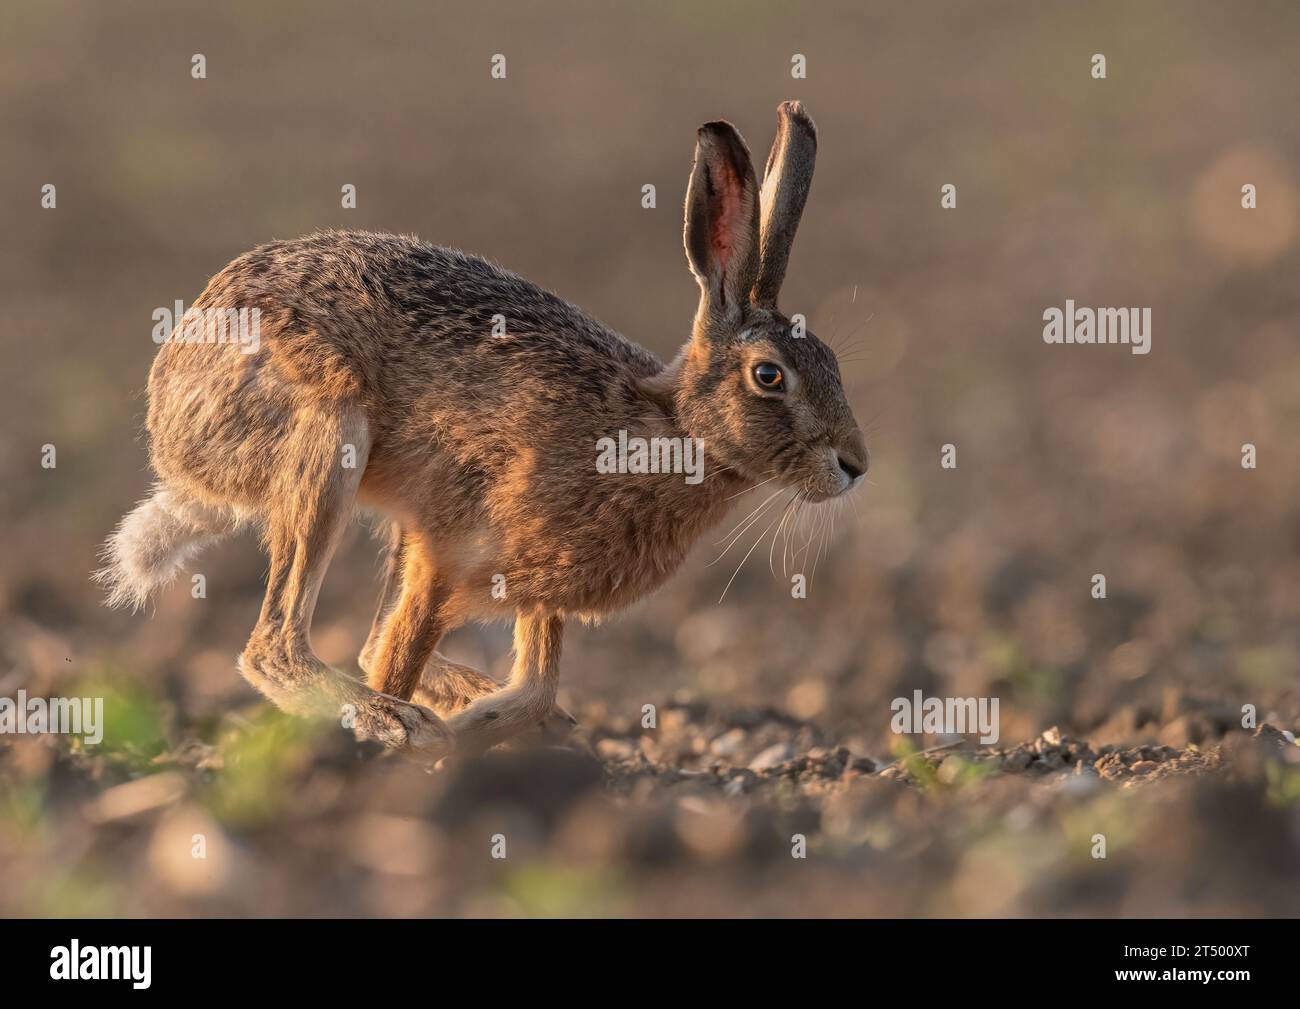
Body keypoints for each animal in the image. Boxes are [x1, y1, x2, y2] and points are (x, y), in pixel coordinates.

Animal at [96, 100, 869, 759]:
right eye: (769, 376)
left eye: (832, 360)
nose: (855, 465)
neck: (669, 428)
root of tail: (170, 415)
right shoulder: (449, 552)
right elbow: (400, 651)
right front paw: (419, 742)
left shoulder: (535, 588)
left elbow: (535, 687)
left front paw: (480, 729)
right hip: (325, 440)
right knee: (277, 645)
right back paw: (389, 720)